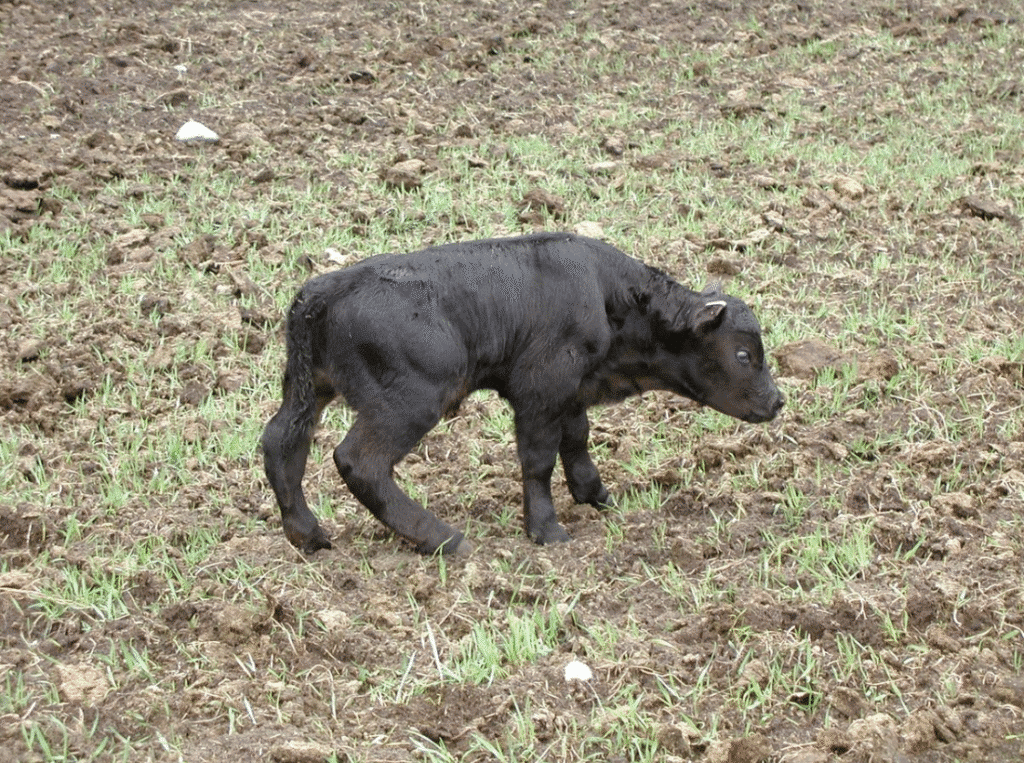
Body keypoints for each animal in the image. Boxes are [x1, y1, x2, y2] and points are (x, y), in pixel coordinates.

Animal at [261, 233, 783, 555]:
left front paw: (597, 495)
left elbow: (577, 439)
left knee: (281, 442)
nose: (777, 402)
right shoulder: (540, 391)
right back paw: (445, 540)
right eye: (743, 354)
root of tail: (323, 288)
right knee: (358, 461)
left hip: (310, 391)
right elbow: (538, 459)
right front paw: (547, 530)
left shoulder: (571, 392)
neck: (609, 296)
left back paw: (309, 535)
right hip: (407, 403)